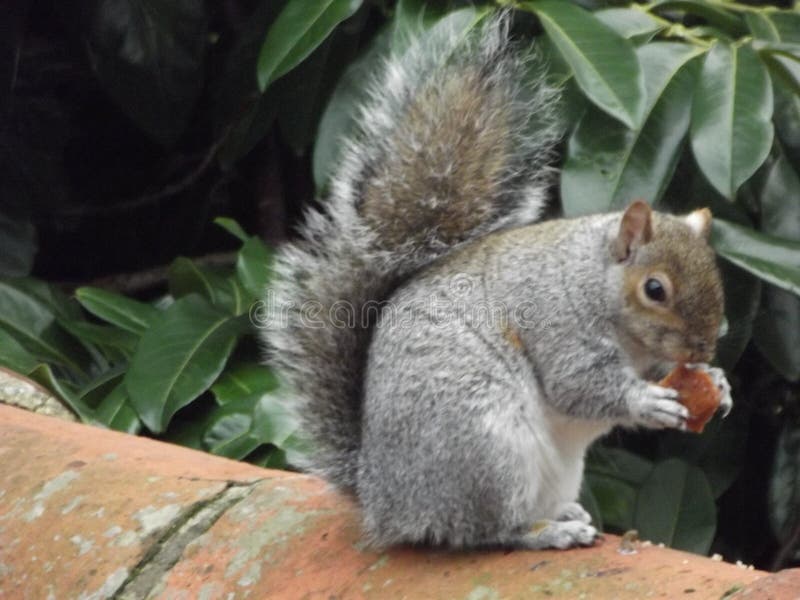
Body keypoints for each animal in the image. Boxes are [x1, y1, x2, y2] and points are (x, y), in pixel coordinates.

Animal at [262, 14, 733, 550]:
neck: (592, 280)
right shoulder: (558, 324)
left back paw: (563, 513)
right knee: (486, 530)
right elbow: (578, 386)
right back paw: (547, 533)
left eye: (715, 273)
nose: (702, 349)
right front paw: (648, 401)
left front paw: (716, 382)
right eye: (655, 289)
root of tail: (382, 498)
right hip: (486, 446)